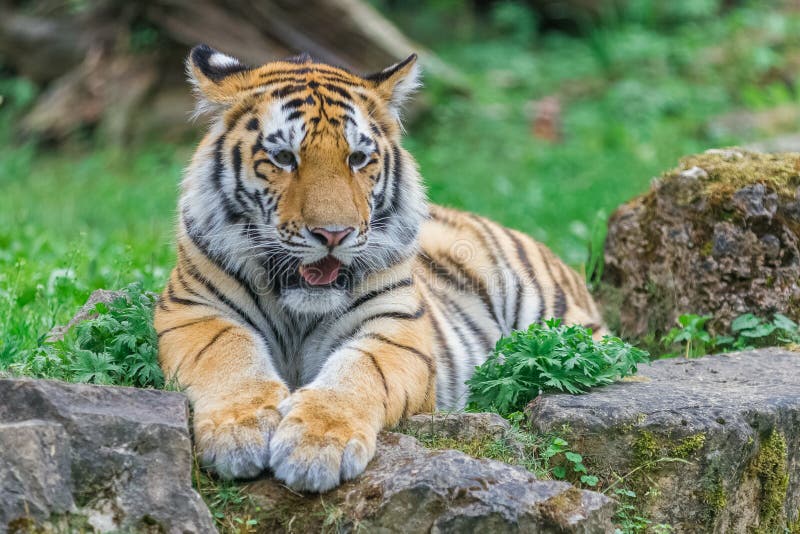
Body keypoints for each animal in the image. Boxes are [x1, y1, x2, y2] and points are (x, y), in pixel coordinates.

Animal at [154, 44, 604, 493]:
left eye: (357, 158)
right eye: (283, 158)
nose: (333, 234)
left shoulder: (396, 329)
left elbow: (357, 373)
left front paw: (315, 446)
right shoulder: (192, 311)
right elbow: (229, 355)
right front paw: (239, 432)